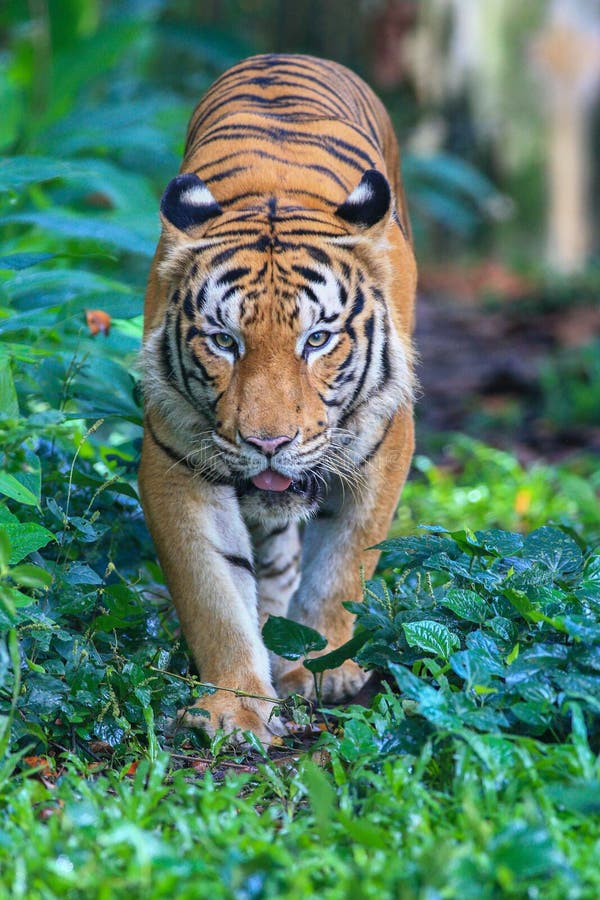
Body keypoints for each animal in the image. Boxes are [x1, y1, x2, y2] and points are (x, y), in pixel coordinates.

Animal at [139, 53, 416, 744]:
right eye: (224, 341)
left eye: (316, 339)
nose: (269, 443)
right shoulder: (177, 463)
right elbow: (213, 594)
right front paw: (236, 707)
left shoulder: (383, 447)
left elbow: (340, 568)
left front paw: (323, 670)